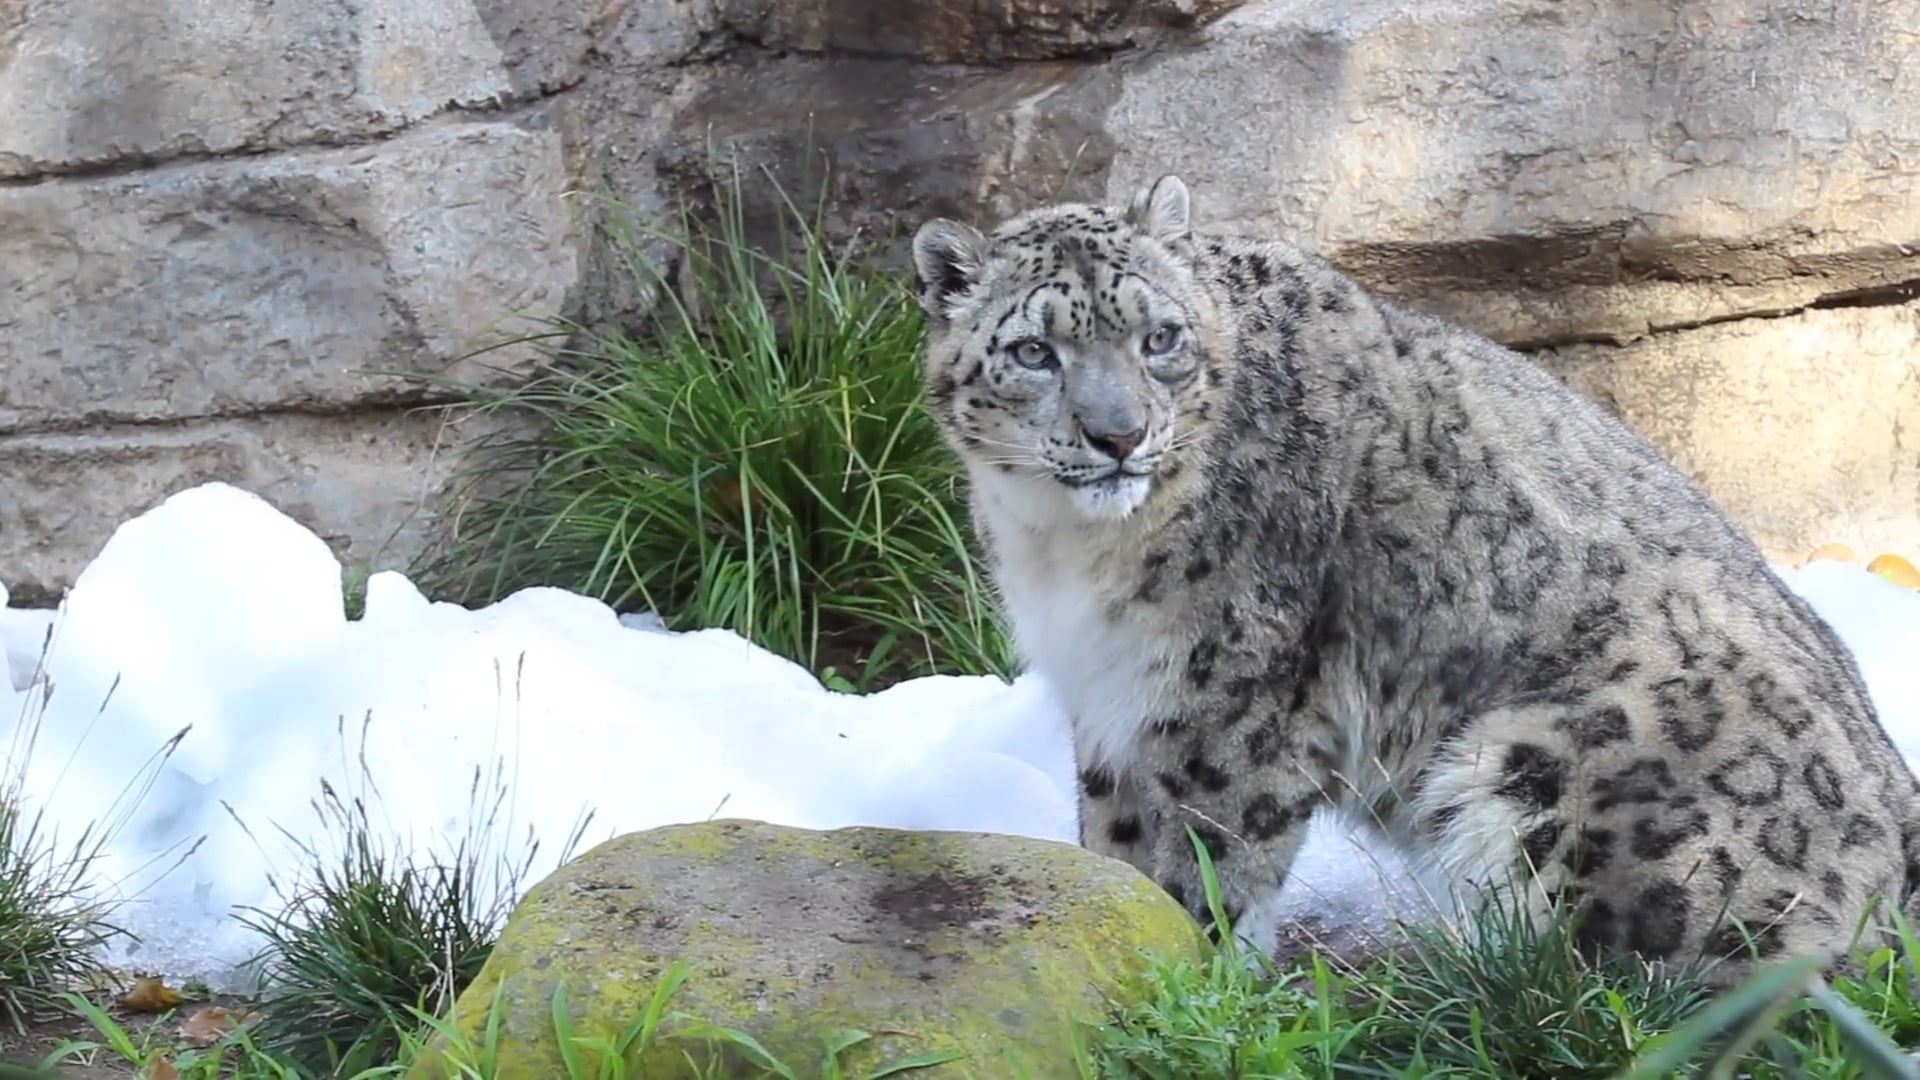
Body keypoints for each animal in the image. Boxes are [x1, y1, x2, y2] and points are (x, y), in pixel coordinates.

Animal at [907, 173, 1920, 983]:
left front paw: (1195, 981)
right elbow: (1114, 844)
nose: (1118, 435)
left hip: (1546, 767)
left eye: (1159, 337)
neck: (1065, 547)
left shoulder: (1227, 704)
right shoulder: (1108, 696)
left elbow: (1207, 867)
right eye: (1034, 352)